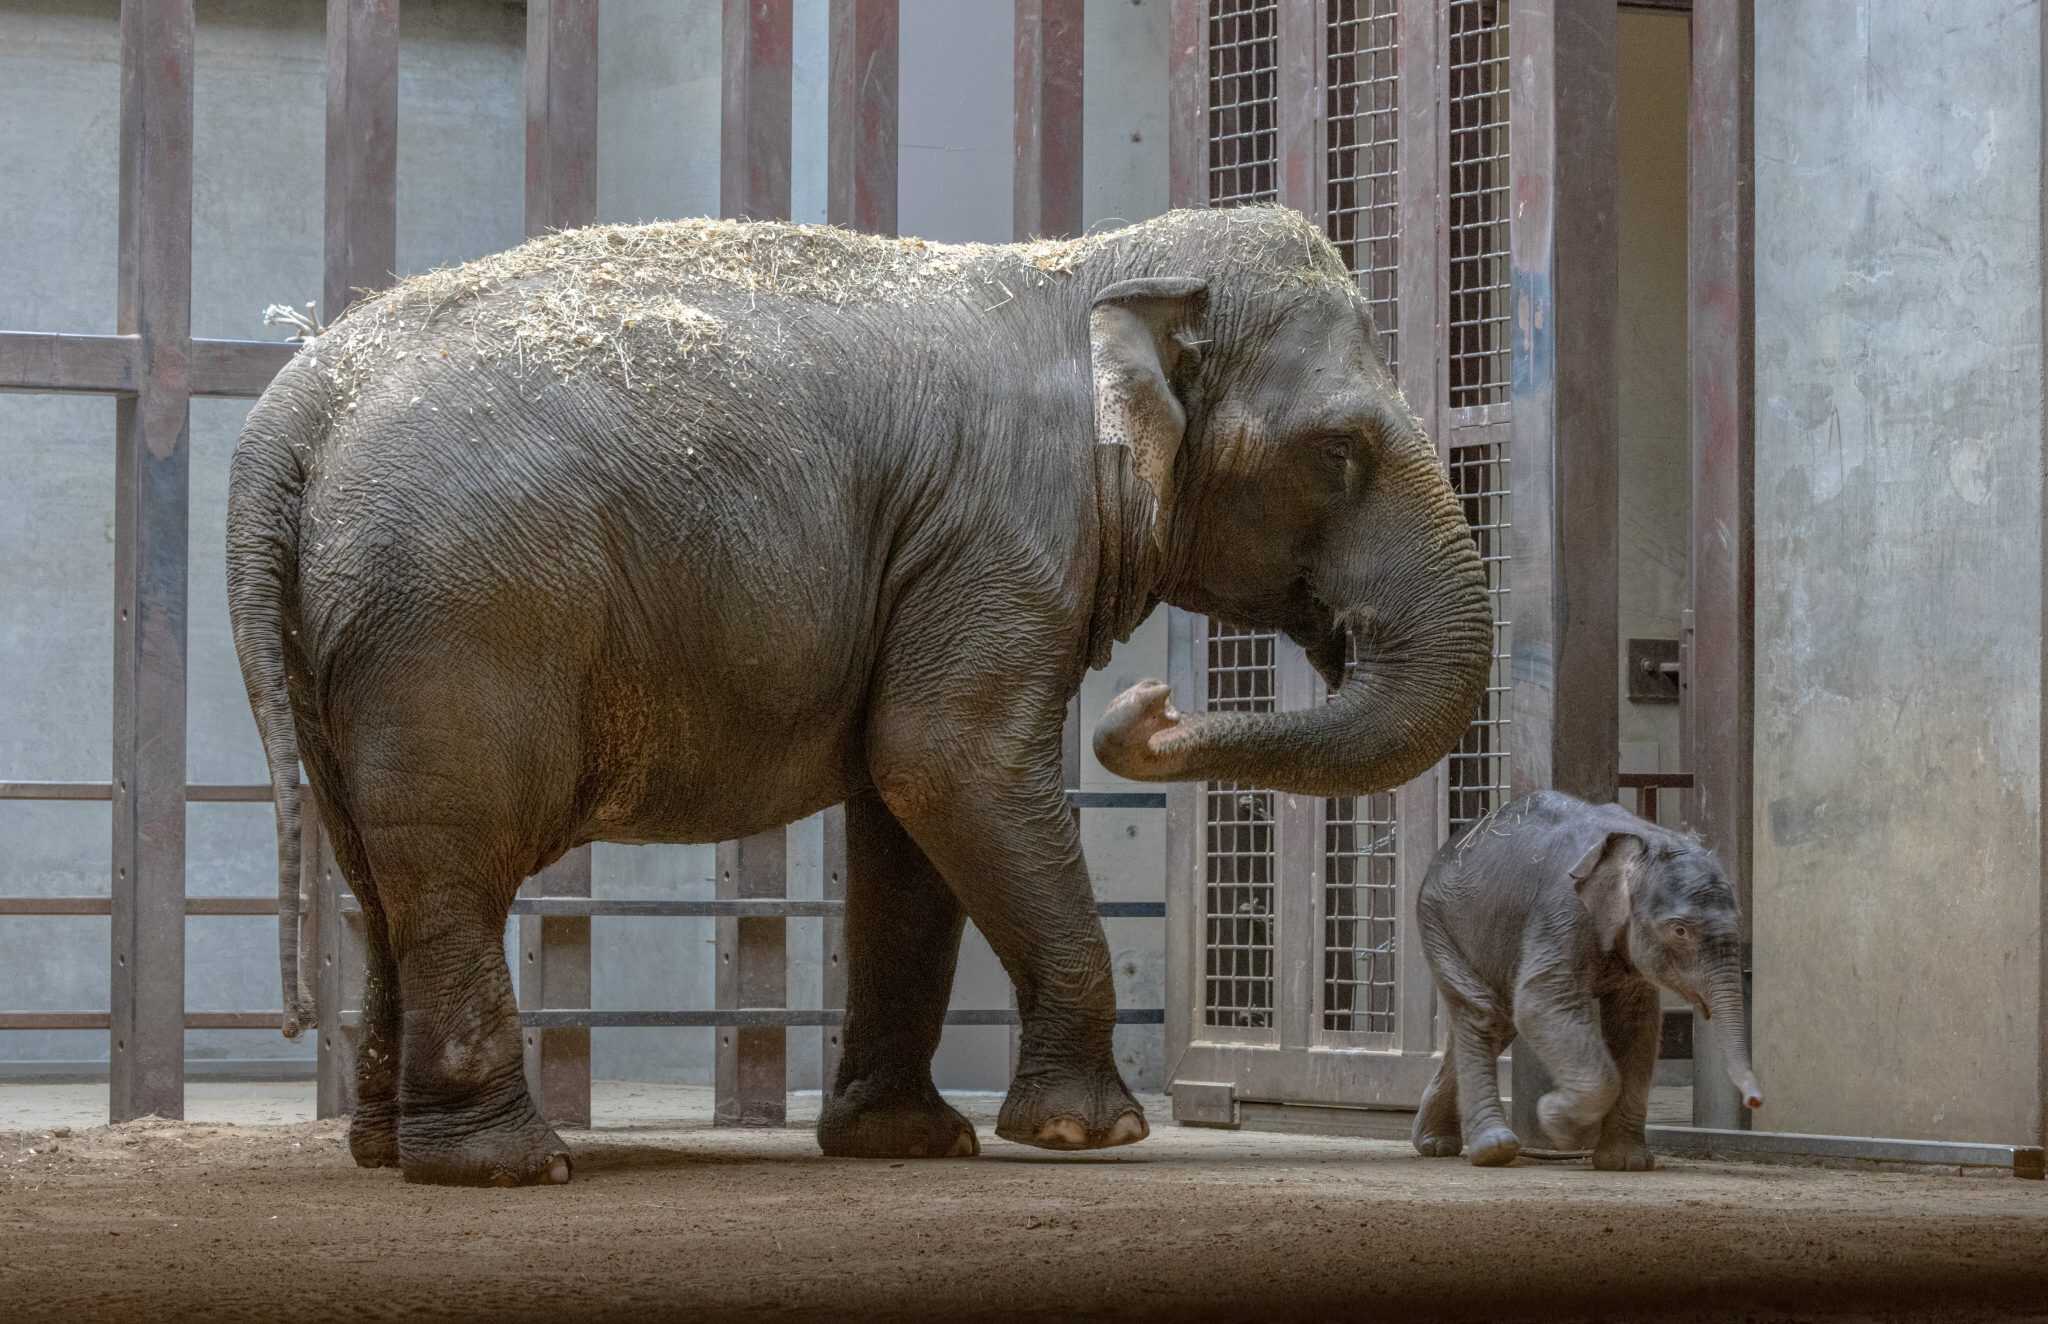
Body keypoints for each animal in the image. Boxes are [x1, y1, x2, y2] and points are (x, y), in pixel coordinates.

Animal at [226, 204, 1494, 1186]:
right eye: (1336, 452)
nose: (1149, 704)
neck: (1090, 264)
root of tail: (291, 411)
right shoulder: (999, 529)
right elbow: (947, 762)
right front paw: (1088, 1134)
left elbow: (904, 813)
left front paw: (907, 1143)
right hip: (458, 623)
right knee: (451, 863)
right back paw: (509, 1165)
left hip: (351, 640)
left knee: (377, 872)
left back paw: (389, 1150)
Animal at [1410, 791, 1764, 1171]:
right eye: (1680, 931)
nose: (1755, 1101)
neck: (1645, 839)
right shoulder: (1563, 909)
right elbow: (1540, 1001)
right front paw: (1558, 1124)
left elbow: (1635, 1024)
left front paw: (1626, 1163)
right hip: (1439, 923)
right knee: (1484, 1016)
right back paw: (1493, 1149)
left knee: (1496, 1023)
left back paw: (1434, 1144)